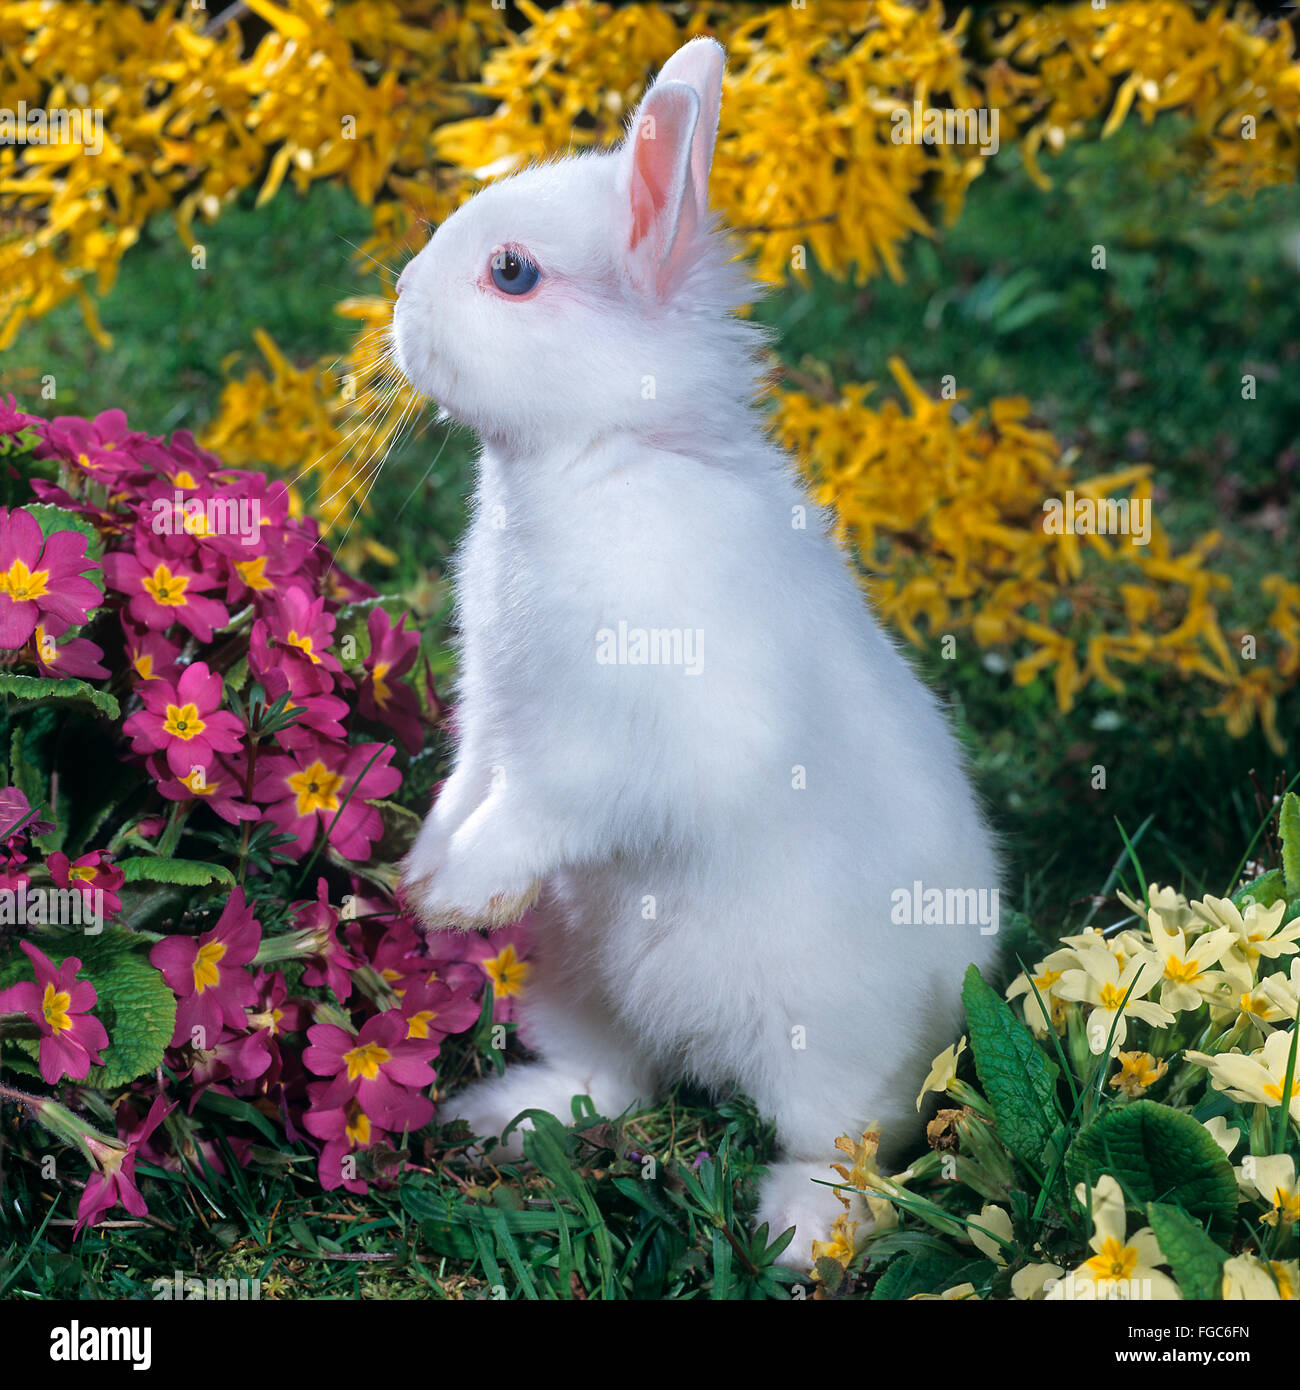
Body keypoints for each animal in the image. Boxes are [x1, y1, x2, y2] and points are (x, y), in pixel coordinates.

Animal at [390, 36, 1001, 1268]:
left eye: (512, 274)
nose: (398, 305)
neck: (607, 459)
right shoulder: (492, 715)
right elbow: (469, 785)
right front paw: (426, 877)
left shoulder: (613, 749)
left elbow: (541, 807)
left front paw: (458, 898)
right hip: (573, 972)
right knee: (611, 1077)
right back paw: (500, 1115)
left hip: (821, 1045)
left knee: (851, 1146)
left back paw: (798, 1230)